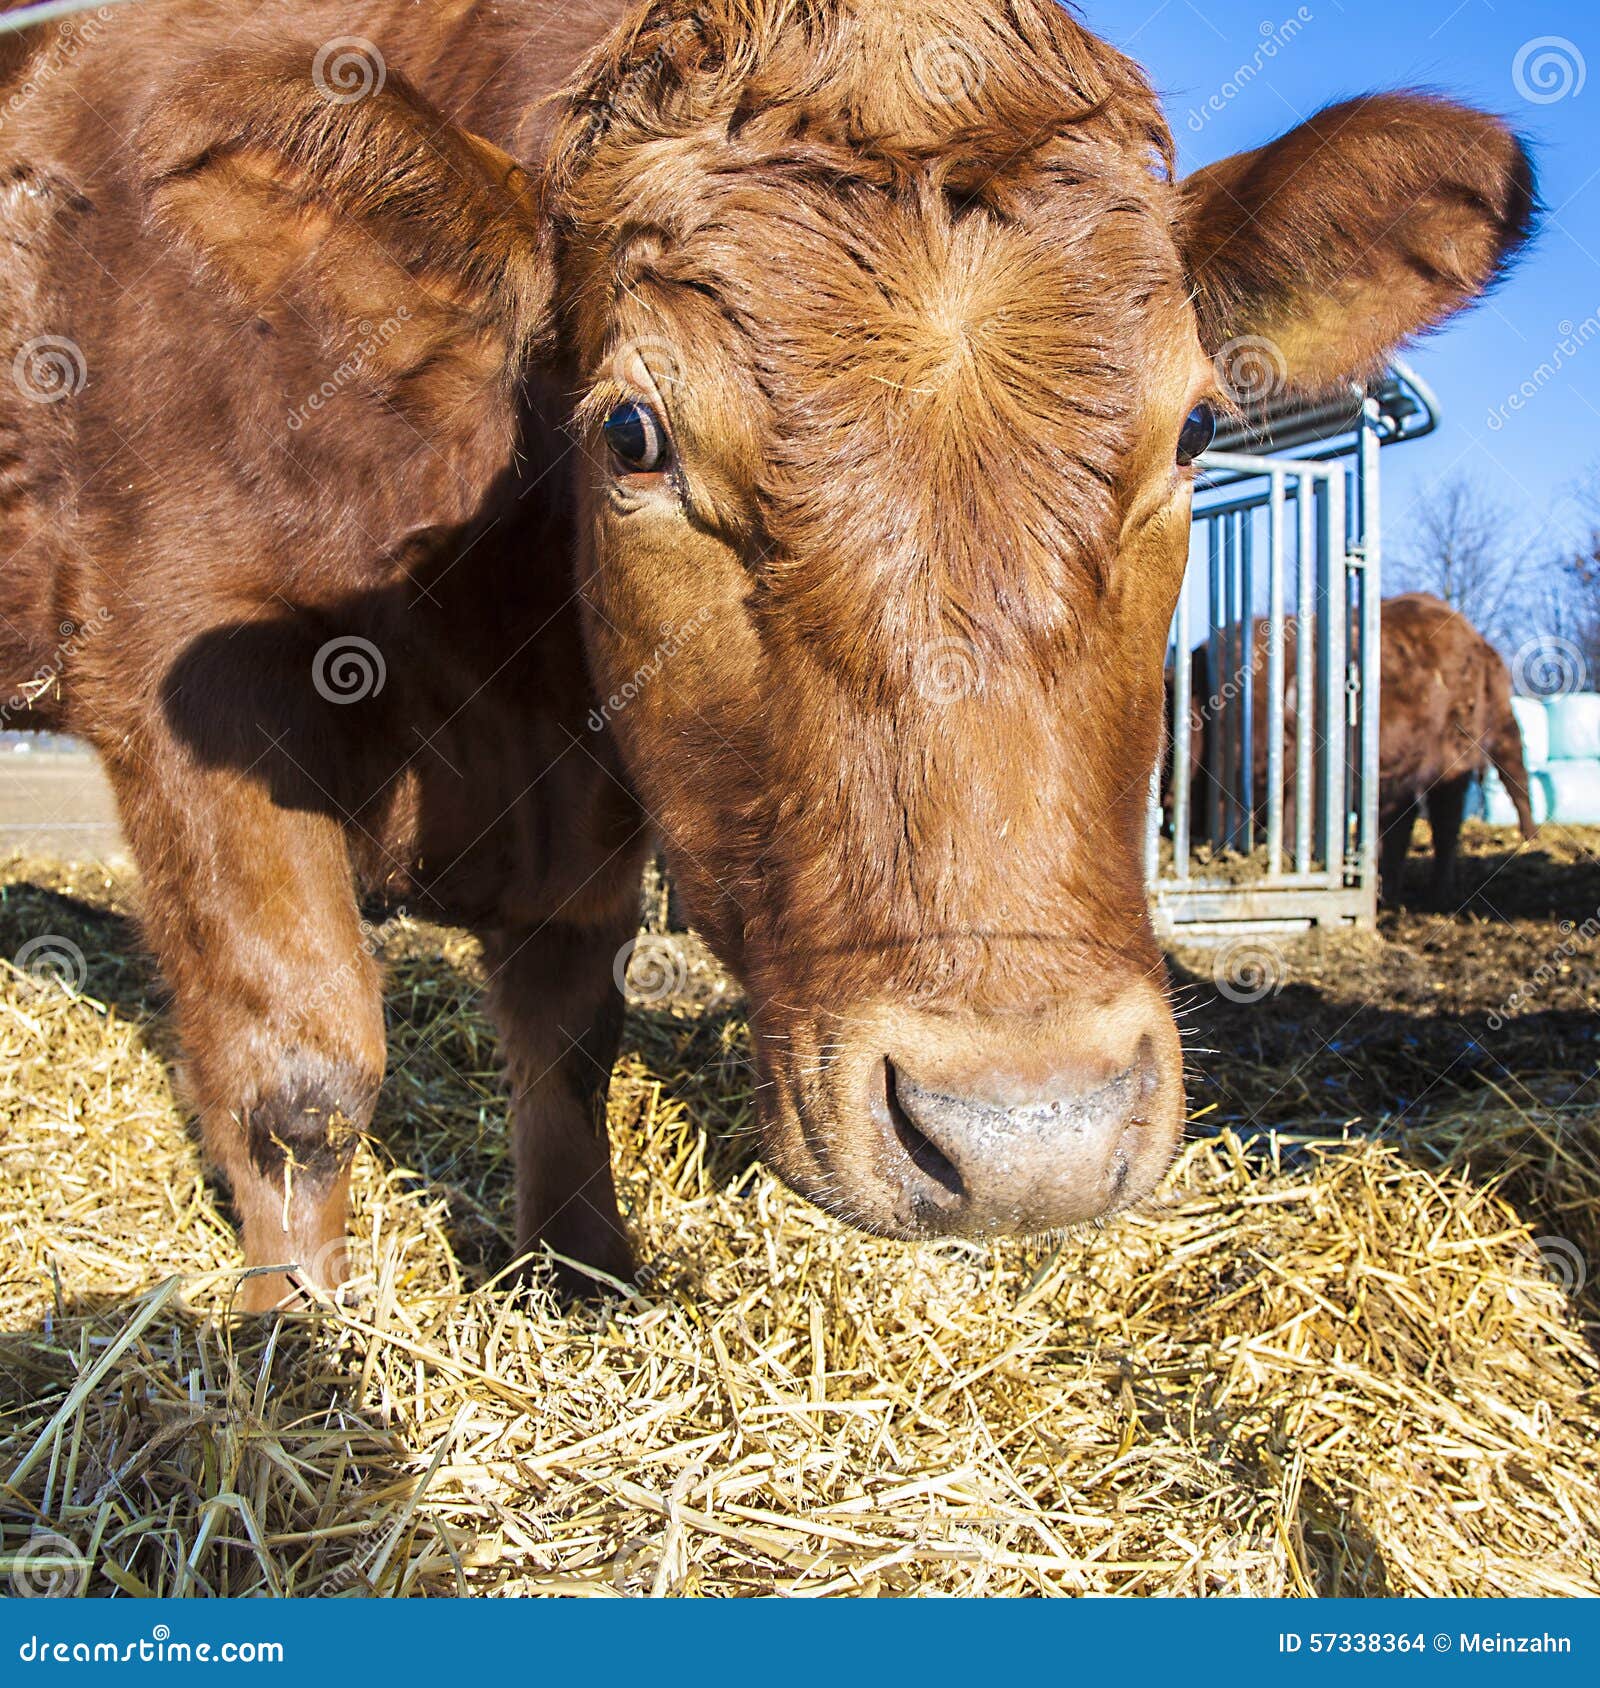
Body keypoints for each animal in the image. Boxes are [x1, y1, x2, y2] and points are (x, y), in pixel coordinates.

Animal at [1169, 594, 1537, 902]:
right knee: (1409, 821)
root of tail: (1474, 636)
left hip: (1473, 744)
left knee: (1484, 795)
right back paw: (1392, 890)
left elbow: (1289, 818)